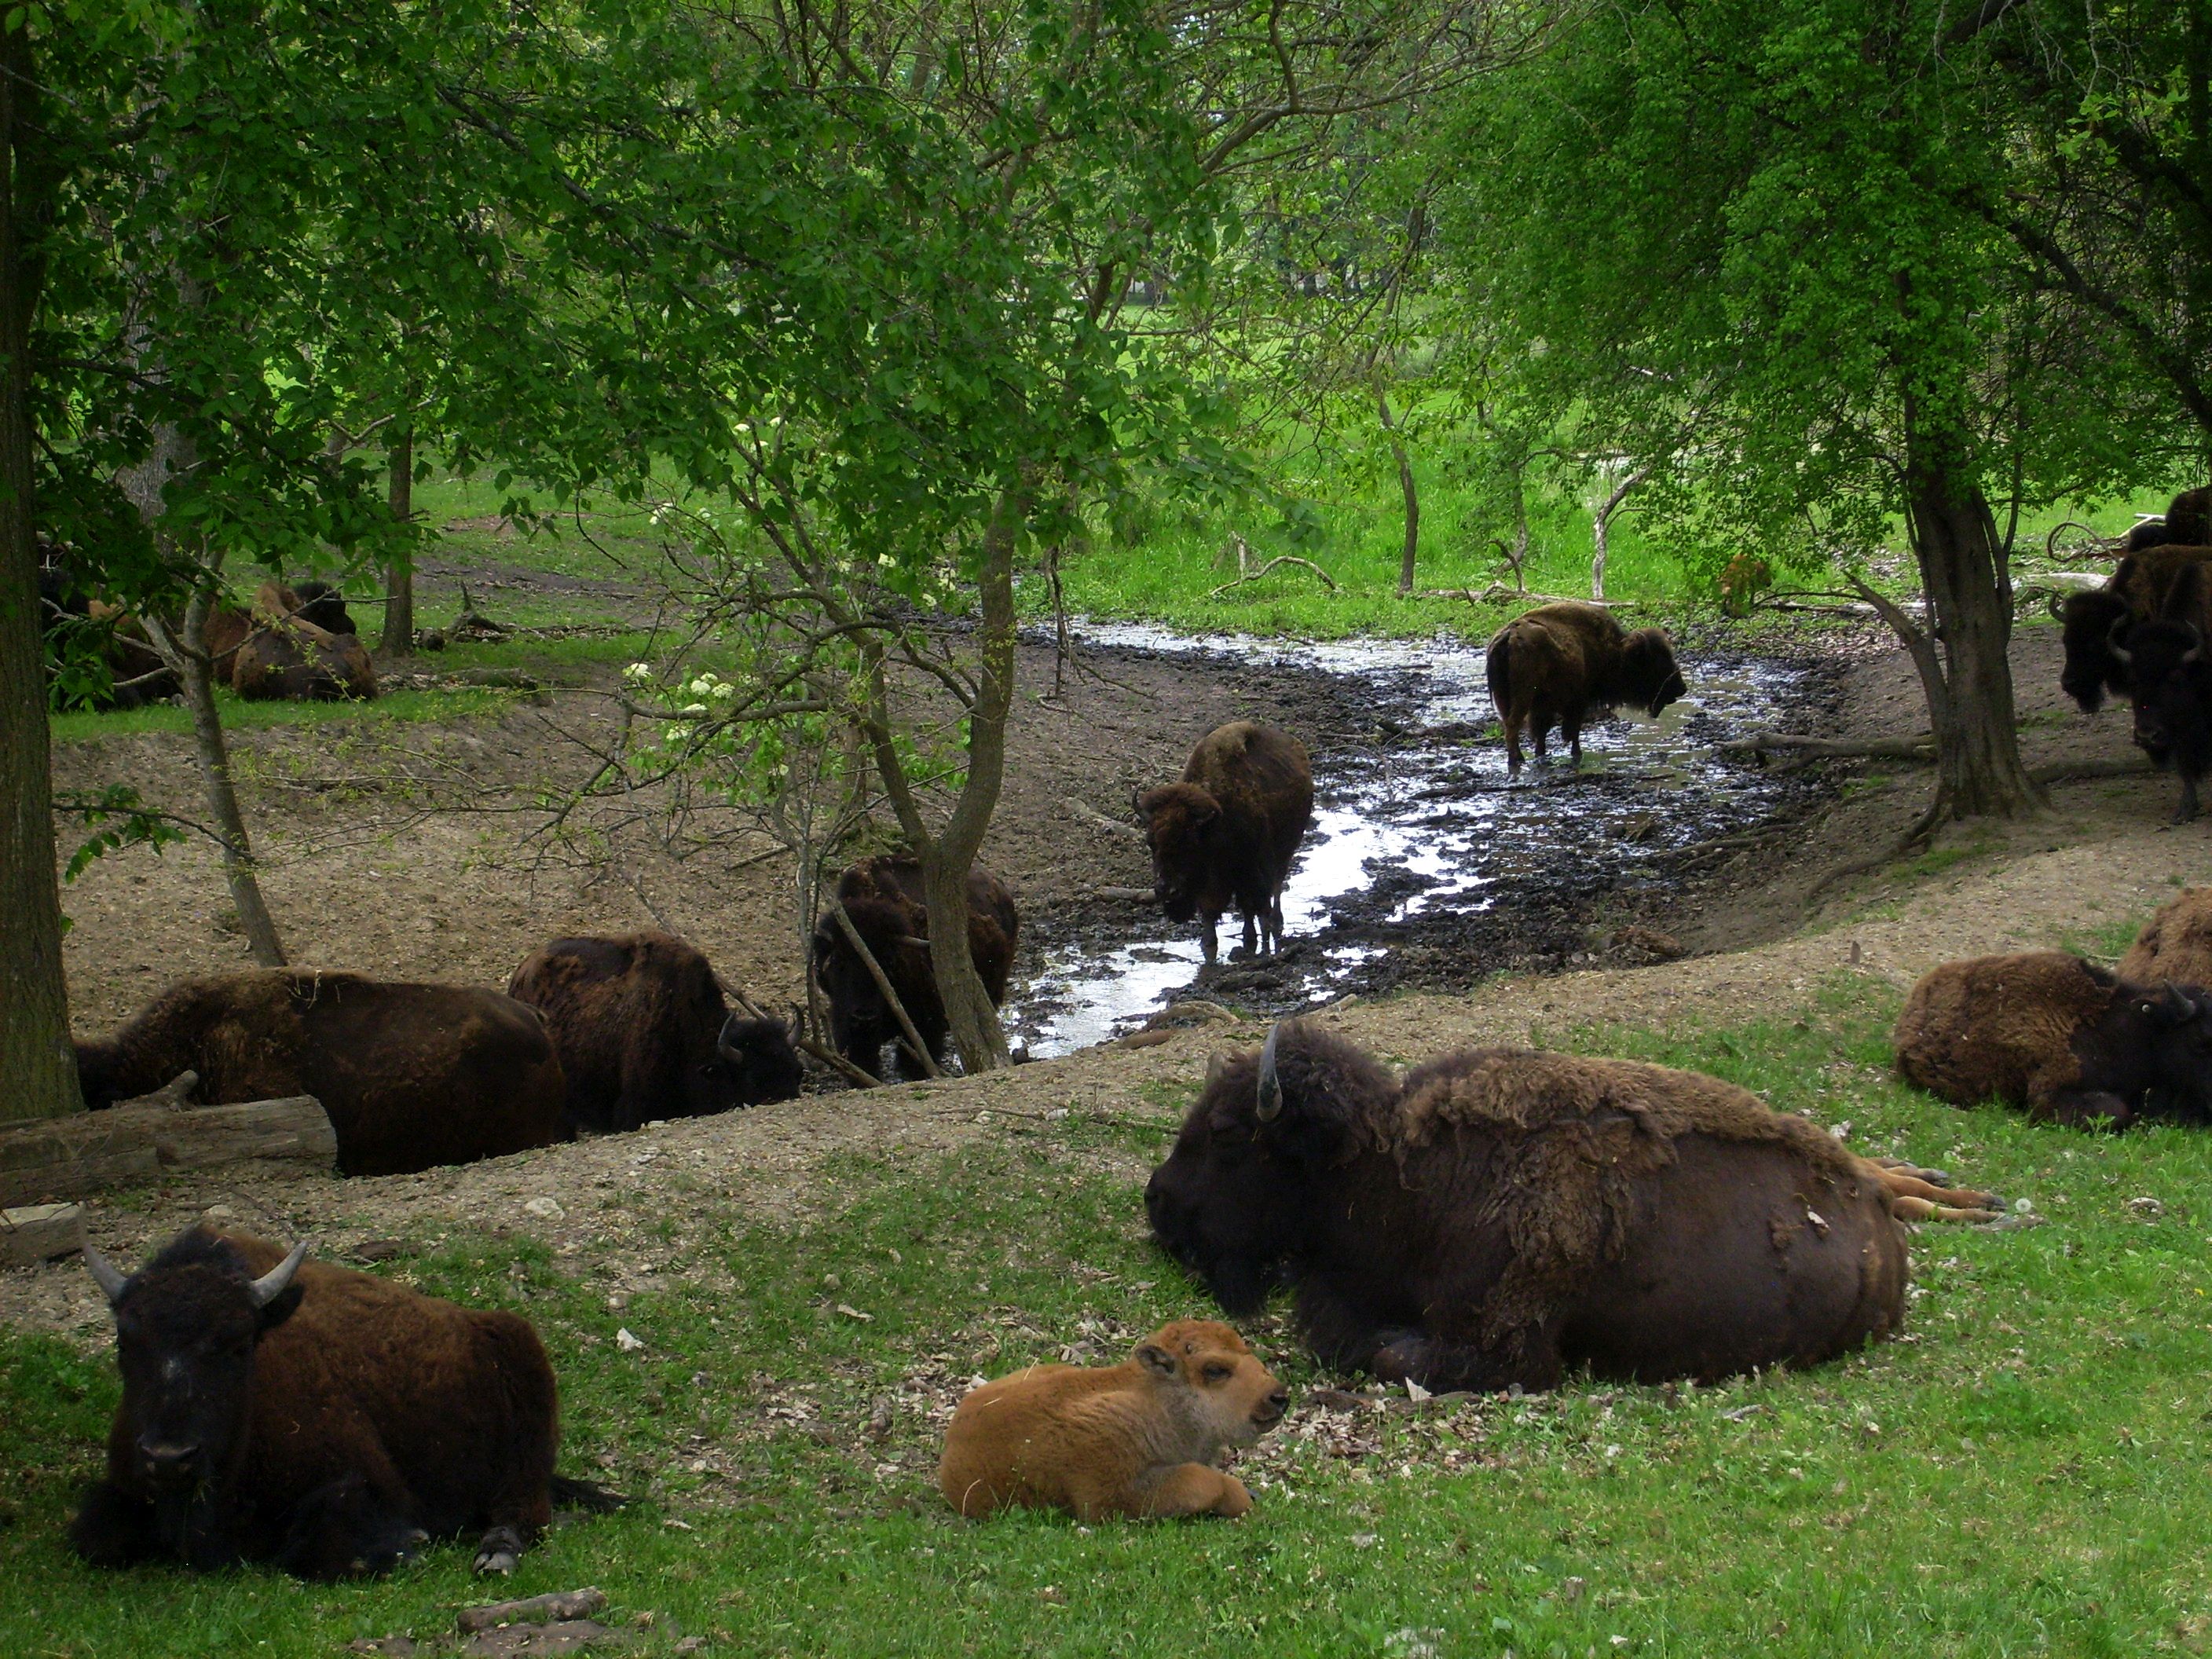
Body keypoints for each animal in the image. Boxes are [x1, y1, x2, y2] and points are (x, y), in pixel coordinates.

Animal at [72, 1227, 613, 1579]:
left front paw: (410, 1544)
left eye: (239, 1343)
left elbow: (318, 1546)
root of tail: (500, 1327)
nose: (169, 1458)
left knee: (521, 1512)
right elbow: (94, 1538)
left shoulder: (367, 1482)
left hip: (524, 1444)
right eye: (125, 1341)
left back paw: (495, 1556)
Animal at [1136, 721, 1313, 963]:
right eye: (1151, 843)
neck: (1214, 825)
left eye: (1189, 843)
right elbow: (1212, 916)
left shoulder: (1253, 872)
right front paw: (1209, 942)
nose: (1168, 892)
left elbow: (1256, 909)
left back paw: (1276, 922)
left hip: (1283, 853)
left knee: (1276, 889)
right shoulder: (1211, 886)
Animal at [1147, 1022, 1932, 1391]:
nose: (1157, 1204)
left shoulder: (1509, 1350)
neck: (1397, 1182)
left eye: (1226, 1135)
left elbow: (1390, 1352)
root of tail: (1878, 1213)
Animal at [1485, 601, 1686, 775]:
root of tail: (1509, 636)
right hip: (1523, 697)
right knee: (1513, 727)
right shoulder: (1577, 702)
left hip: (1506, 698)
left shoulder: (1544, 707)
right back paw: (1516, 761)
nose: (1681, 689)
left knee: (1509, 725)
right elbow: (1572, 732)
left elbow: (1542, 734)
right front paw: (1577, 754)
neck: (1614, 649)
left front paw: (1542, 755)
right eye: (1658, 662)